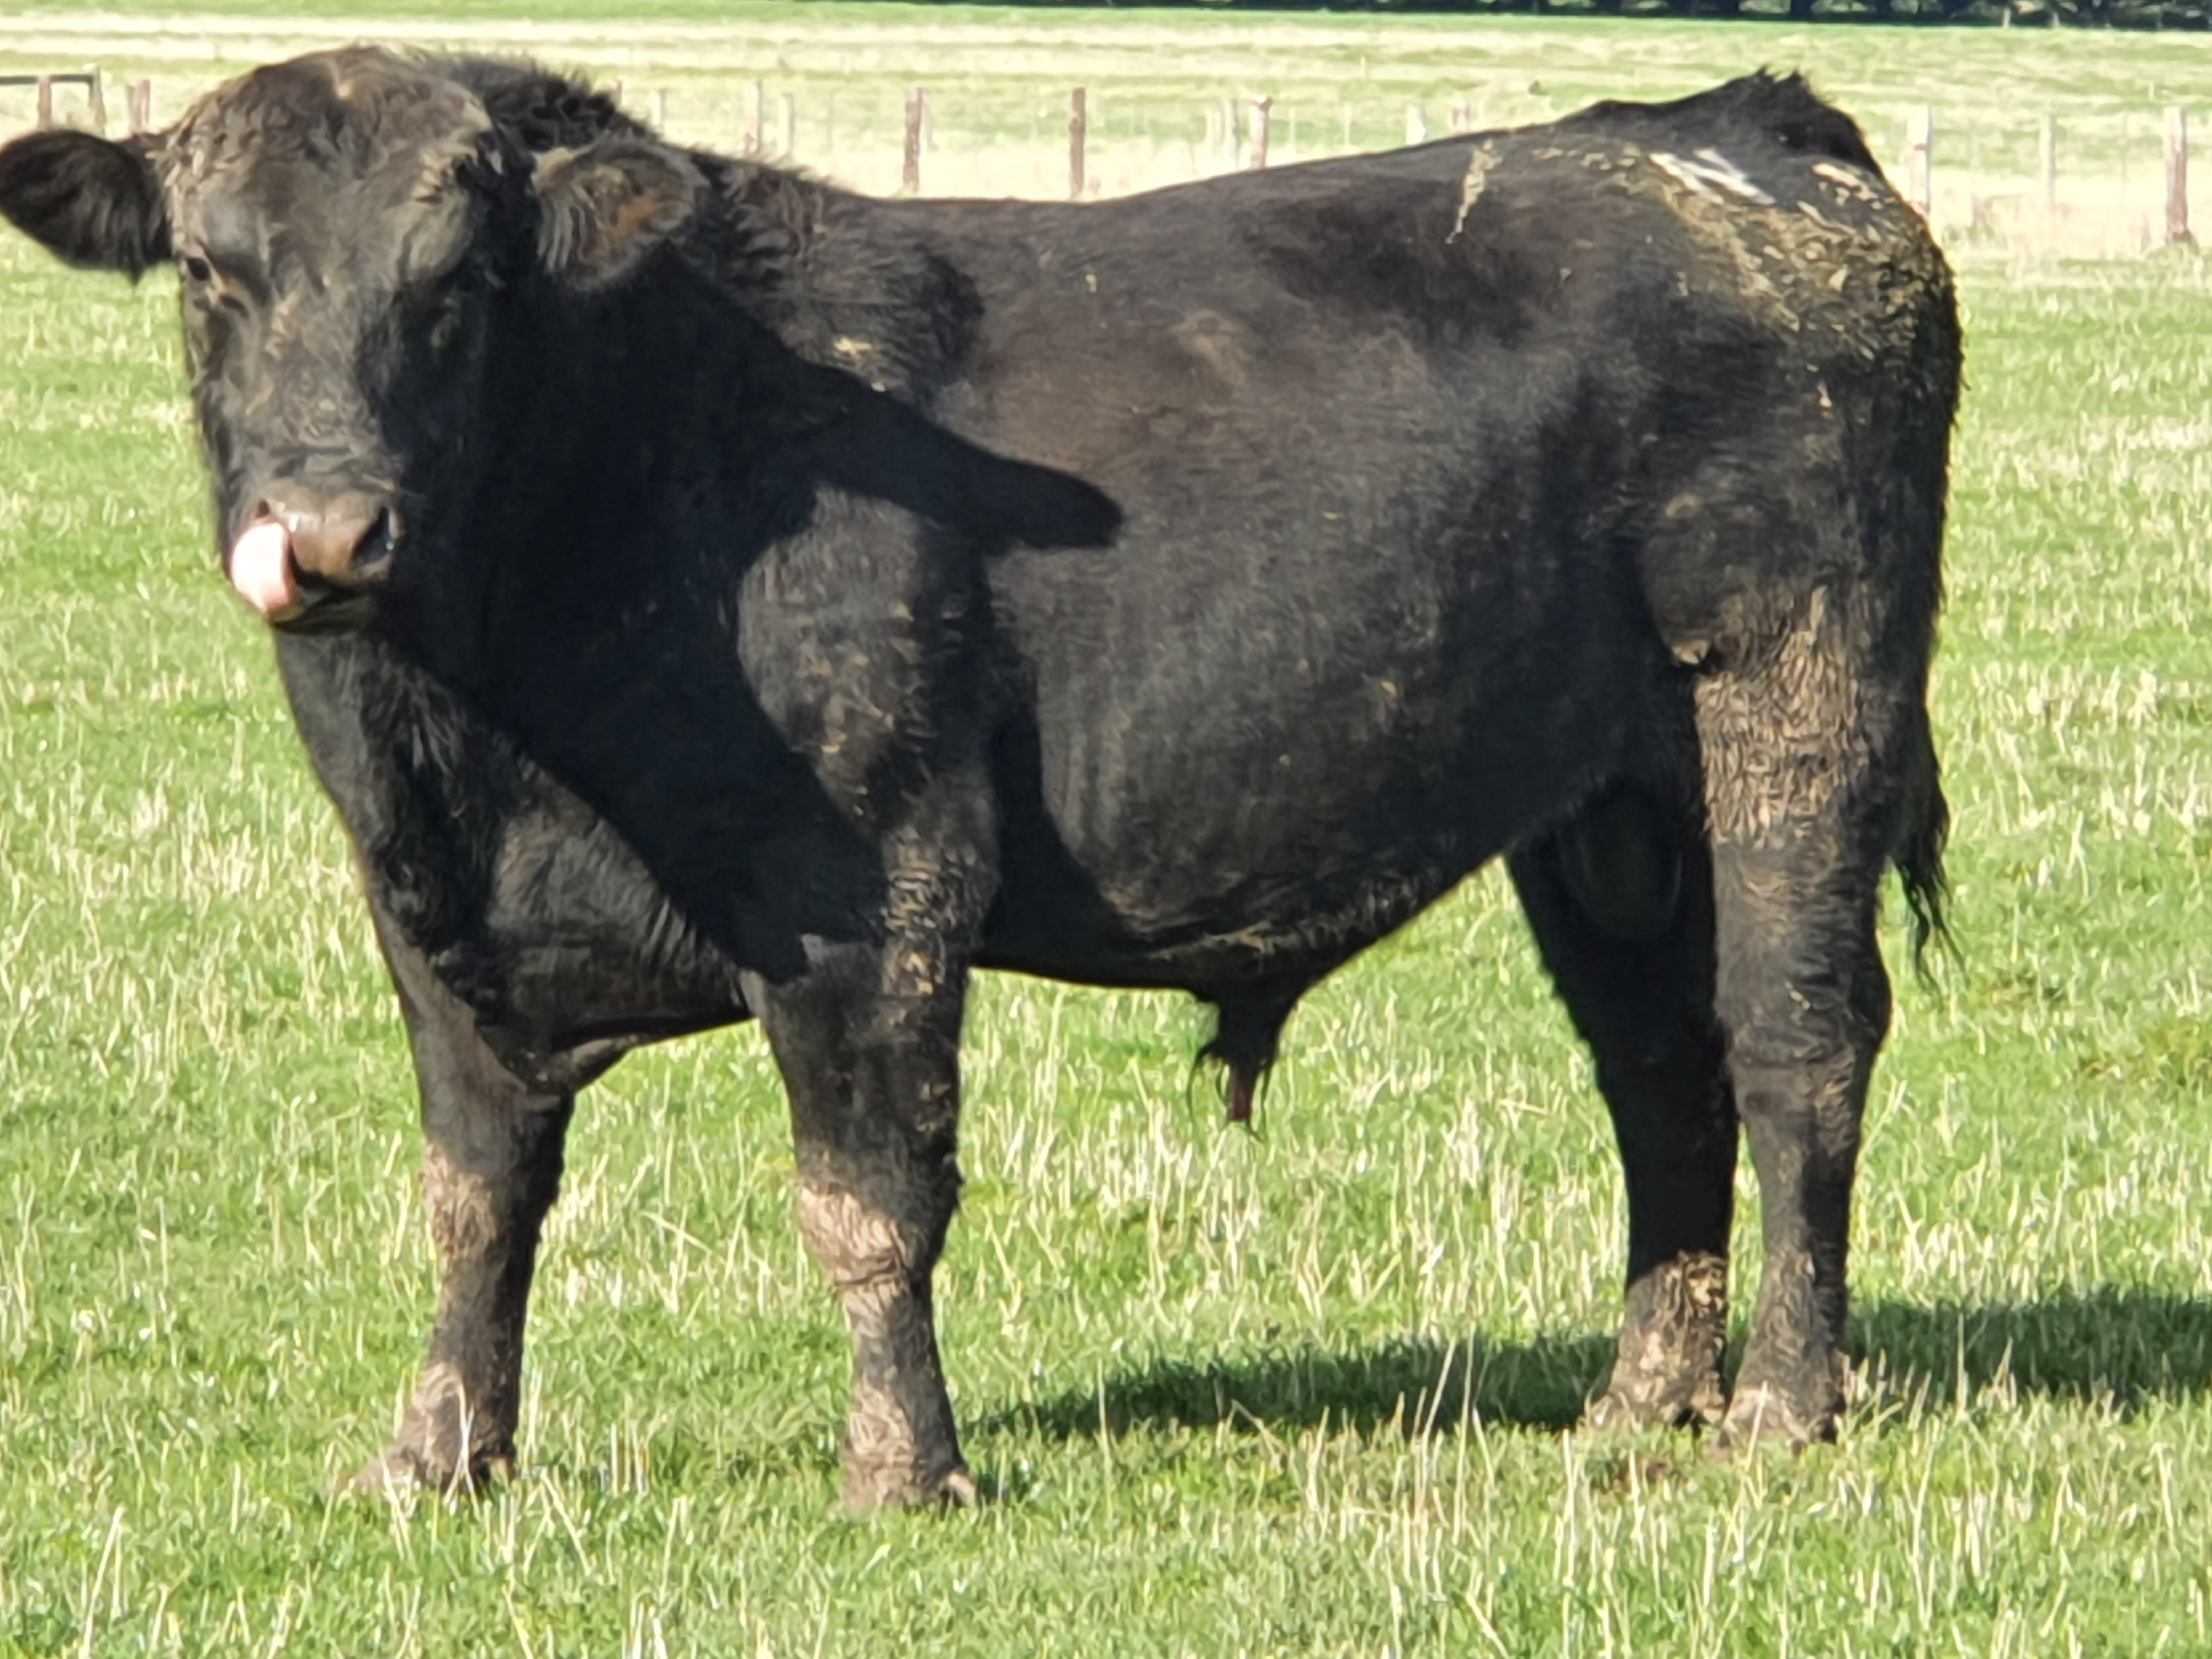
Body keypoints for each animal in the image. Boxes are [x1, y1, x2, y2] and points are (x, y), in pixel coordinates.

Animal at [0, 50, 1957, 1509]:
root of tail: (1732, 132)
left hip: (1796, 705)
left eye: (459, 282)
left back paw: (1784, 1402)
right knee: (1660, 1070)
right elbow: (477, 1198)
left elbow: (868, 1199)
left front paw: (901, 1467)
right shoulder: (431, 928)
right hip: (1611, 806)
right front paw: (439, 1456)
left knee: (1792, 1045)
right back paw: (1644, 1398)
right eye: (211, 274)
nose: (326, 532)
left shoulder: (869, 895)